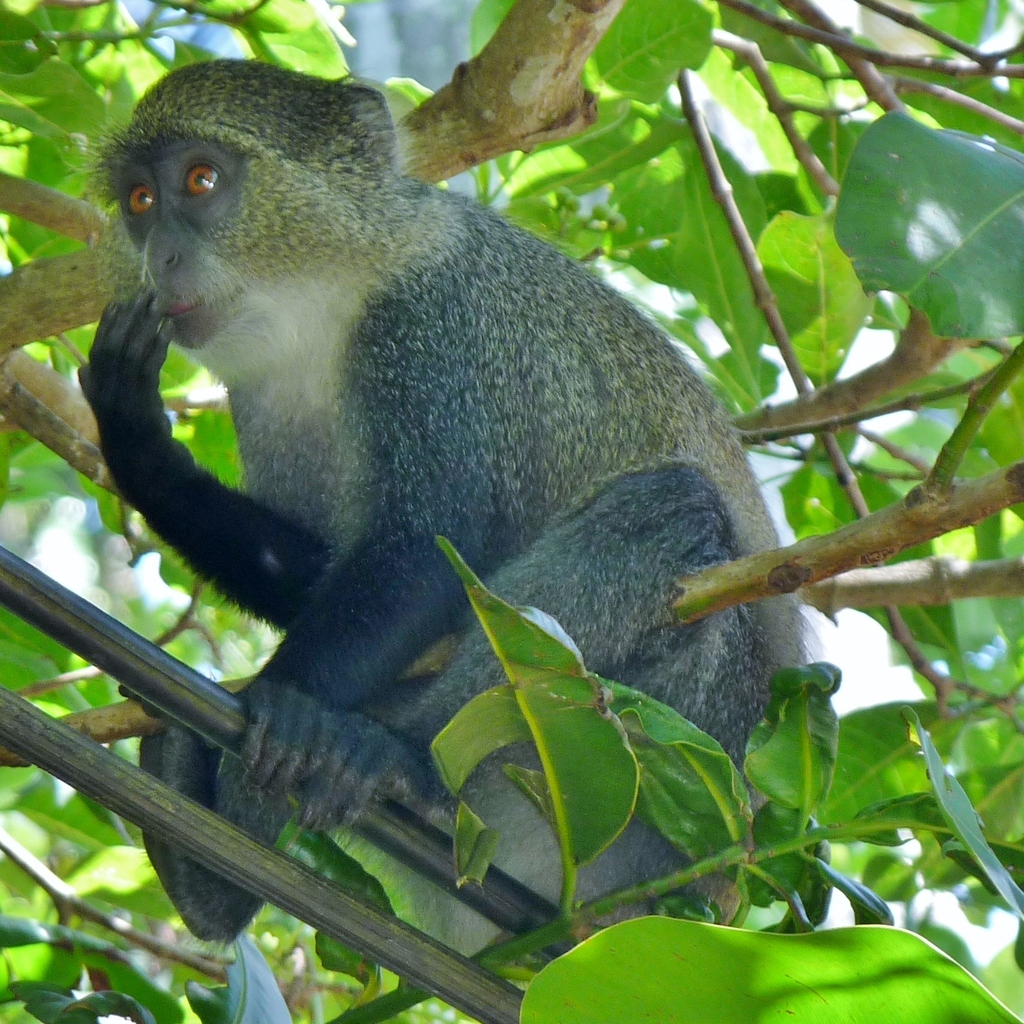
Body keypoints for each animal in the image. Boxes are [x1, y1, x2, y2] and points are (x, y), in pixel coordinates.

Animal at [81, 59, 804, 951]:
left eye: (201, 180)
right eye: (140, 200)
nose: (164, 255)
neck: (329, 297)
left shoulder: (431, 332)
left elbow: (425, 552)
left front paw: (283, 707)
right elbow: (316, 576)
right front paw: (138, 447)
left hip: (688, 751)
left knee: (679, 514)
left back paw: (400, 762)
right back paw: (206, 874)